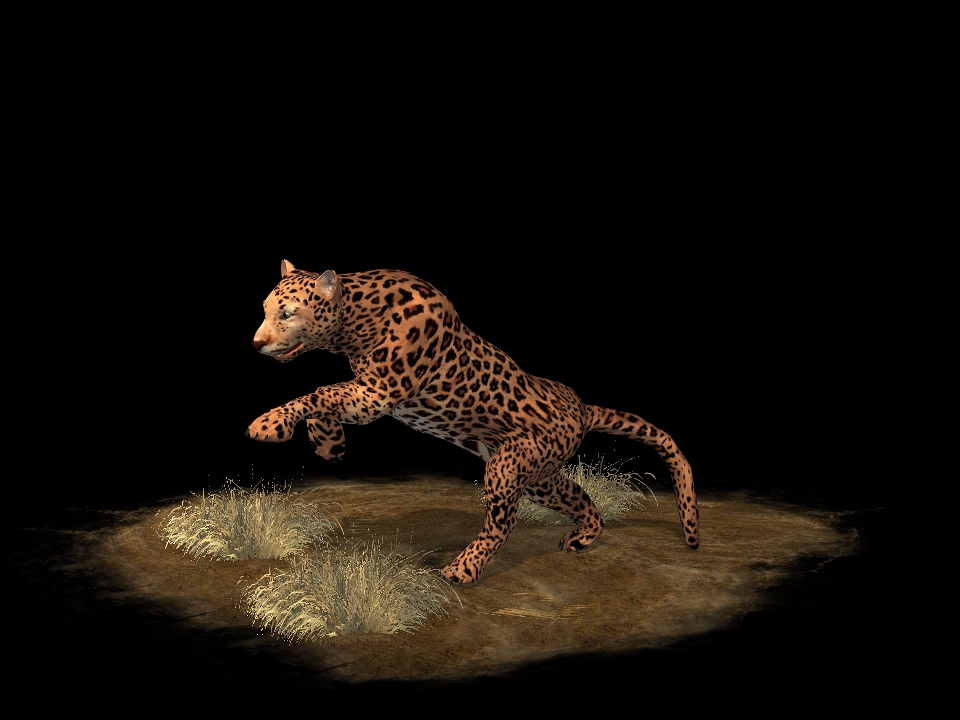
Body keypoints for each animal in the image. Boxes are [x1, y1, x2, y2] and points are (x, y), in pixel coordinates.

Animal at [246, 260, 699, 587]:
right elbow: (325, 397)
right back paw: (583, 537)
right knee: (579, 497)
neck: (354, 324)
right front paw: (327, 442)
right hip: (538, 475)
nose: (256, 343)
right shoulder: (367, 394)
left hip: (507, 468)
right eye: (265, 311)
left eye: (286, 313)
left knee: (503, 522)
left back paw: (462, 570)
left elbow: (320, 392)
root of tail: (581, 407)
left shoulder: (377, 394)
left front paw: (269, 424)